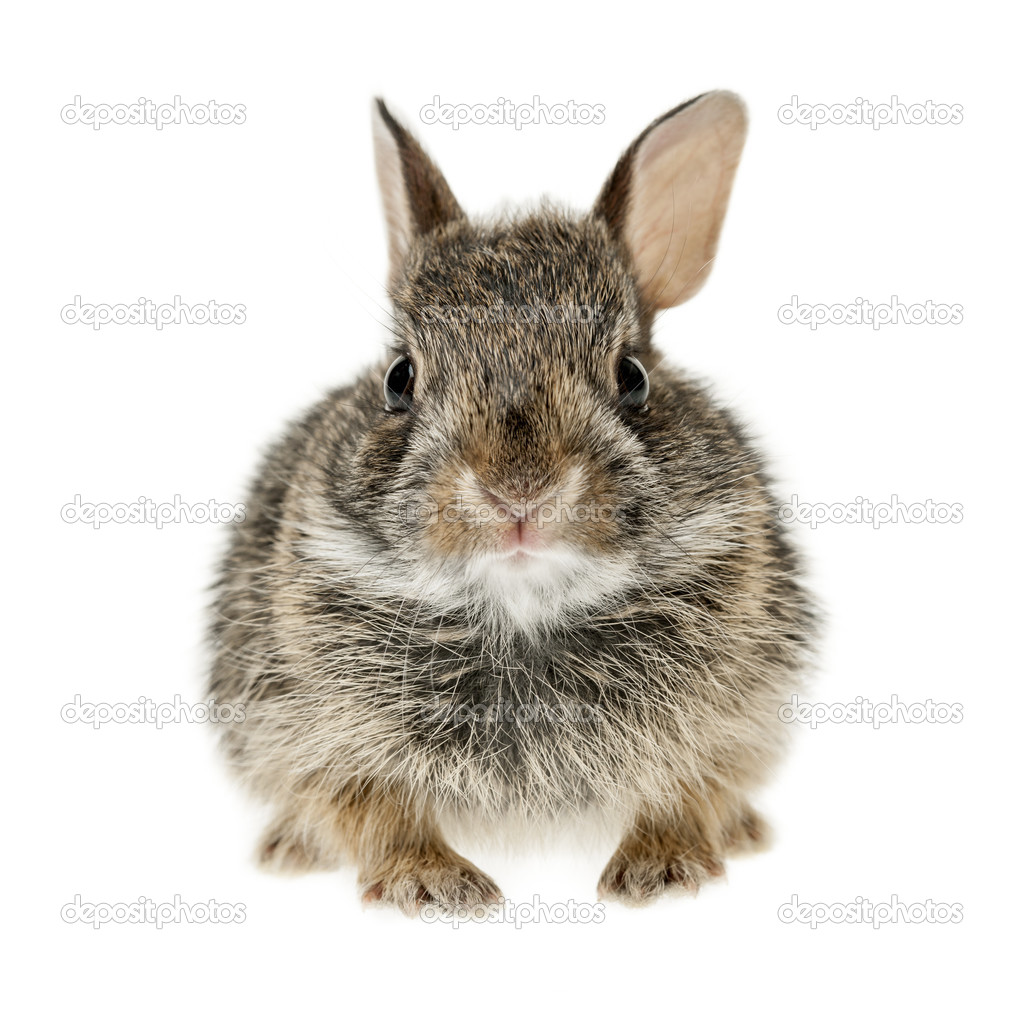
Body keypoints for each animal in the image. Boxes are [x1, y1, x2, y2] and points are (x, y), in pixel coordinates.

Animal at [208, 91, 815, 914]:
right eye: (399, 378)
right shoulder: (321, 733)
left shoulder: (726, 720)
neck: (520, 607)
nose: (518, 490)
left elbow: (687, 793)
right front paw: (435, 884)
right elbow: (373, 812)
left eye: (632, 377)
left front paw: (661, 871)